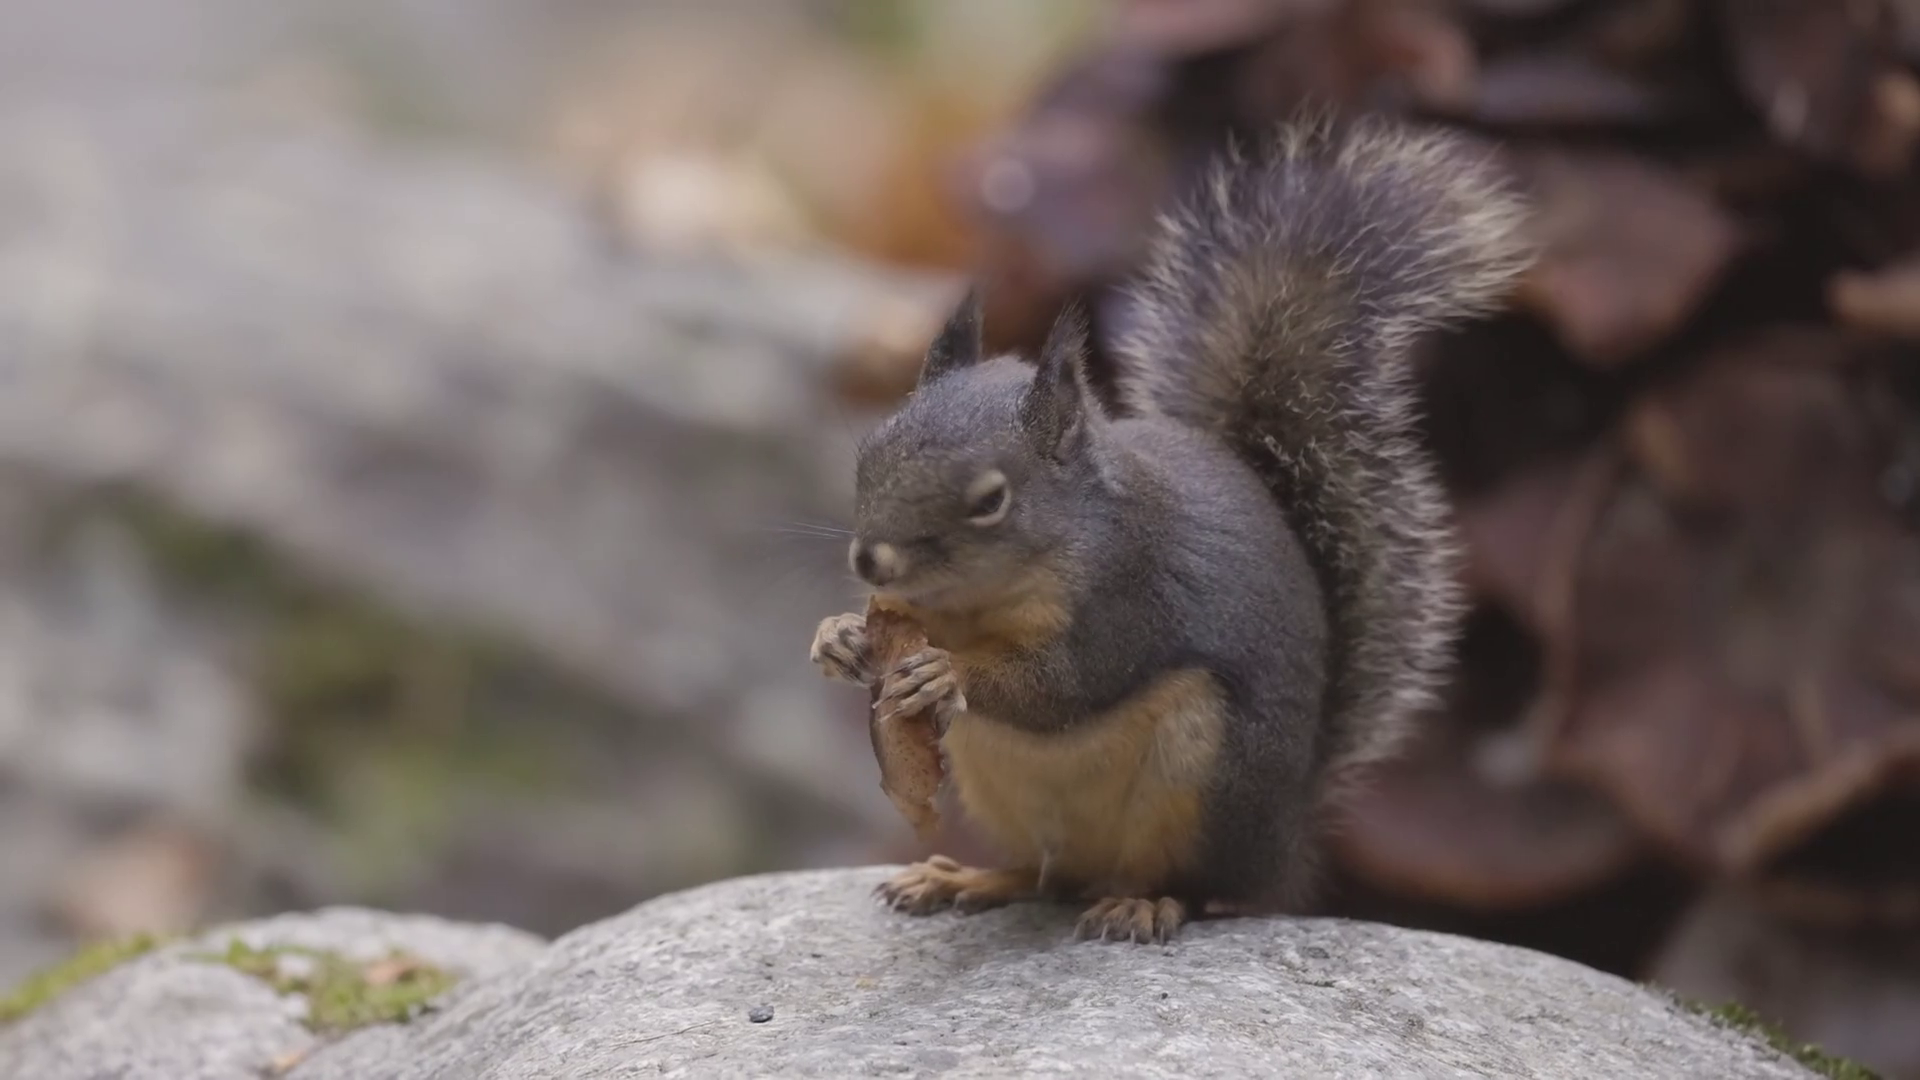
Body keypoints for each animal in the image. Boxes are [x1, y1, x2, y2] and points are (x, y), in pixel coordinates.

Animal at [810, 113, 1531, 944]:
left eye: (991, 499)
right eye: (869, 449)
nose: (871, 560)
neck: (976, 601)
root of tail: (1288, 840)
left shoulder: (1127, 595)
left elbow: (1062, 686)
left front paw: (945, 672)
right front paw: (838, 638)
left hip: (1200, 778)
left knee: (1191, 886)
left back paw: (1143, 902)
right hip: (999, 788)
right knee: (1042, 874)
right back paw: (966, 876)